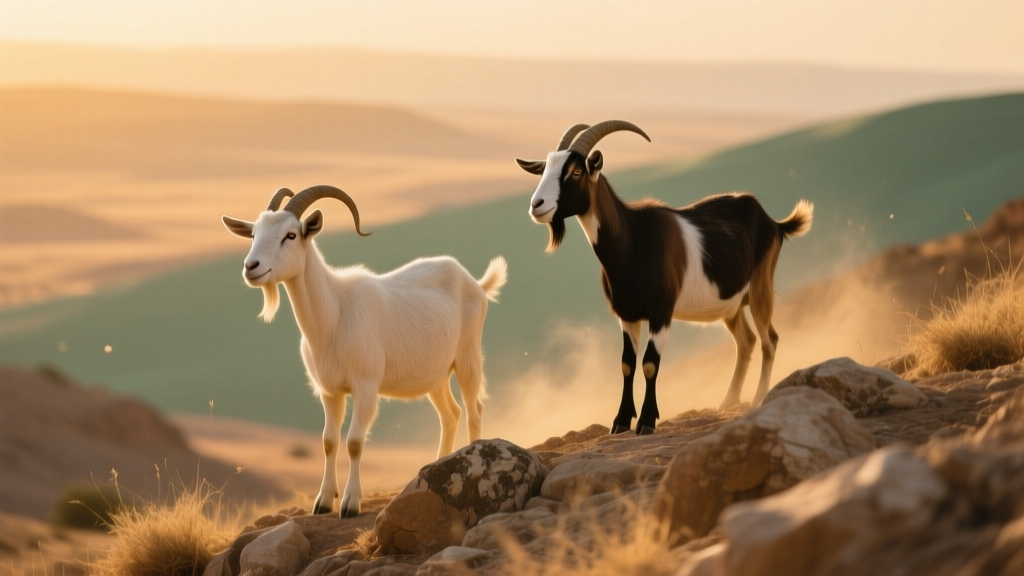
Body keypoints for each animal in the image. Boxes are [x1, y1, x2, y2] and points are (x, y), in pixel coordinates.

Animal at [222, 185, 507, 517]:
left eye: (290, 235)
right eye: (254, 234)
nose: (251, 267)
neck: (334, 315)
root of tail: (475, 283)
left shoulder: (366, 386)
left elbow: (355, 442)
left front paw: (350, 504)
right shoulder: (330, 392)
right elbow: (329, 441)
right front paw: (323, 502)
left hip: (467, 357)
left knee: (474, 410)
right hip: (435, 376)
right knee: (451, 414)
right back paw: (439, 464)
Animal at [516, 121, 812, 435]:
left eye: (575, 171)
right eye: (545, 169)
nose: (537, 205)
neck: (632, 240)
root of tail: (773, 222)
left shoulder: (661, 312)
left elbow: (649, 363)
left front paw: (647, 421)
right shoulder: (627, 315)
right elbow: (627, 364)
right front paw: (620, 421)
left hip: (760, 288)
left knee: (770, 340)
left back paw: (757, 400)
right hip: (731, 306)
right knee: (746, 341)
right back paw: (728, 401)